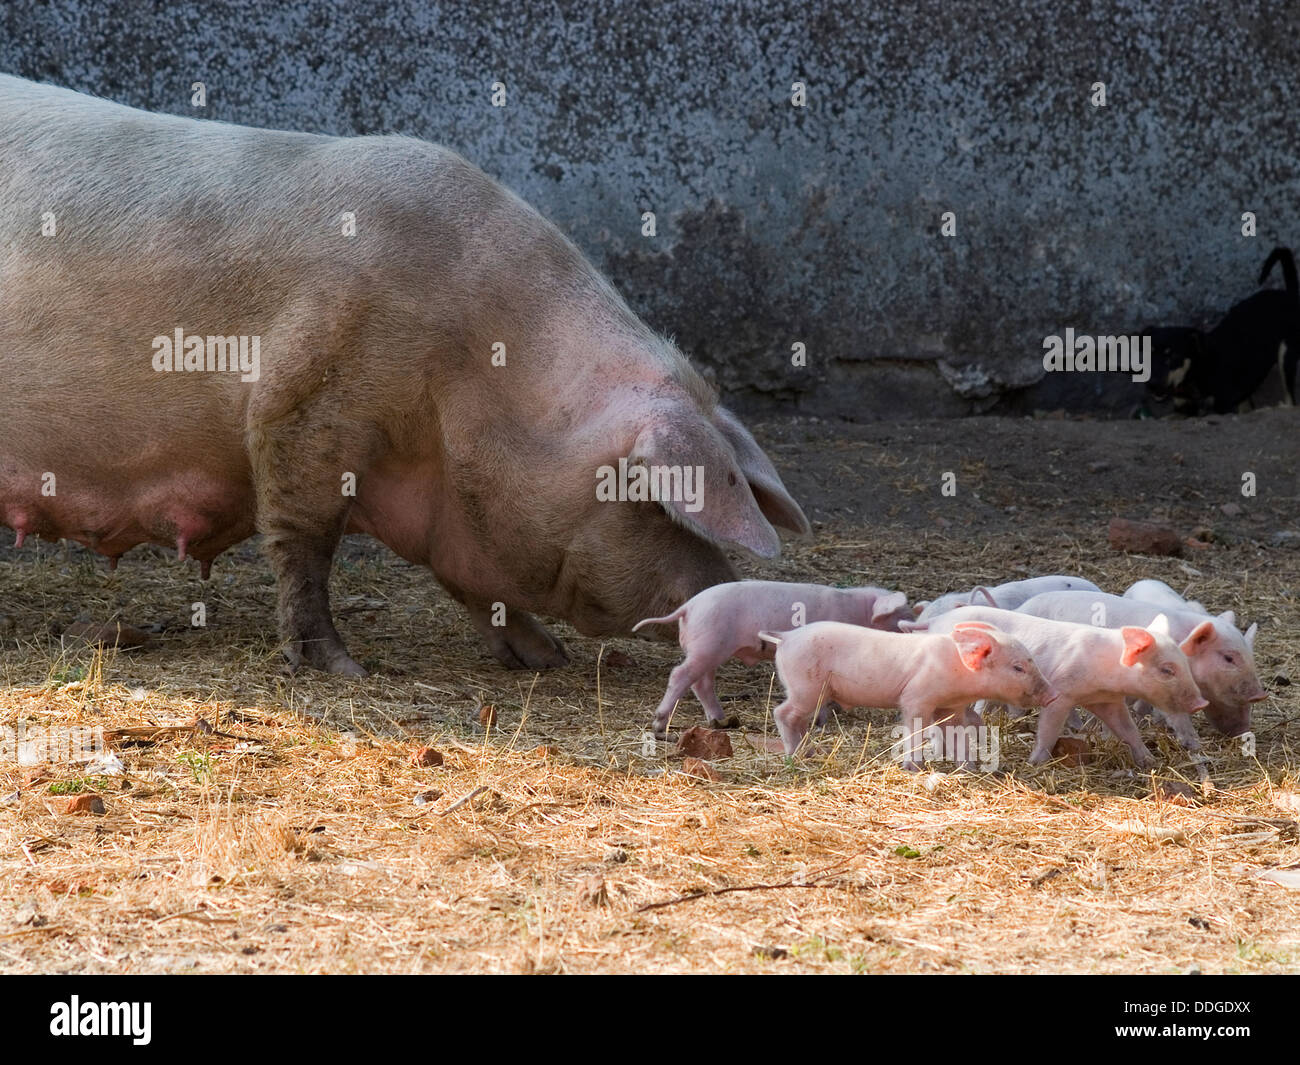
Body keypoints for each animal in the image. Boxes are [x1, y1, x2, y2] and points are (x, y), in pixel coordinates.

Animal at [0, 75, 810, 675]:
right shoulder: (306, 397)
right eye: (645, 501)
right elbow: (304, 537)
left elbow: (472, 578)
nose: (729, 597)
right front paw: (337, 667)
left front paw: (544, 657)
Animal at [635, 581, 910, 736]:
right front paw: (820, 722)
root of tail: (689, 607)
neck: (858, 611)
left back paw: (719, 720)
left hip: (707, 649)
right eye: (900, 616)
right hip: (708, 645)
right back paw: (659, 725)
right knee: (680, 675)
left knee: (701, 683)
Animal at [759, 621, 1055, 766]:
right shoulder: (916, 697)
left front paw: (968, 766)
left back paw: (808, 753)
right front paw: (915, 767)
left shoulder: (951, 708)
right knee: (782, 713)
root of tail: (786, 636)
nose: (1052, 695)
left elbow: (957, 735)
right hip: (806, 687)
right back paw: (795, 756)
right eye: (1017, 667)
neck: (957, 670)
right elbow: (915, 729)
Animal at [918, 607, 1207, 767]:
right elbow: (1049, 729)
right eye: (1167, 670)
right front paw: (1035, 763)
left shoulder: (1107, 700)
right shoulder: (1062, 689)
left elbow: (1128, 730)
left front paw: (1149, 762)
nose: (1202, 702)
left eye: (1185, 663)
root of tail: (935, 621)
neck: (1105, 672)